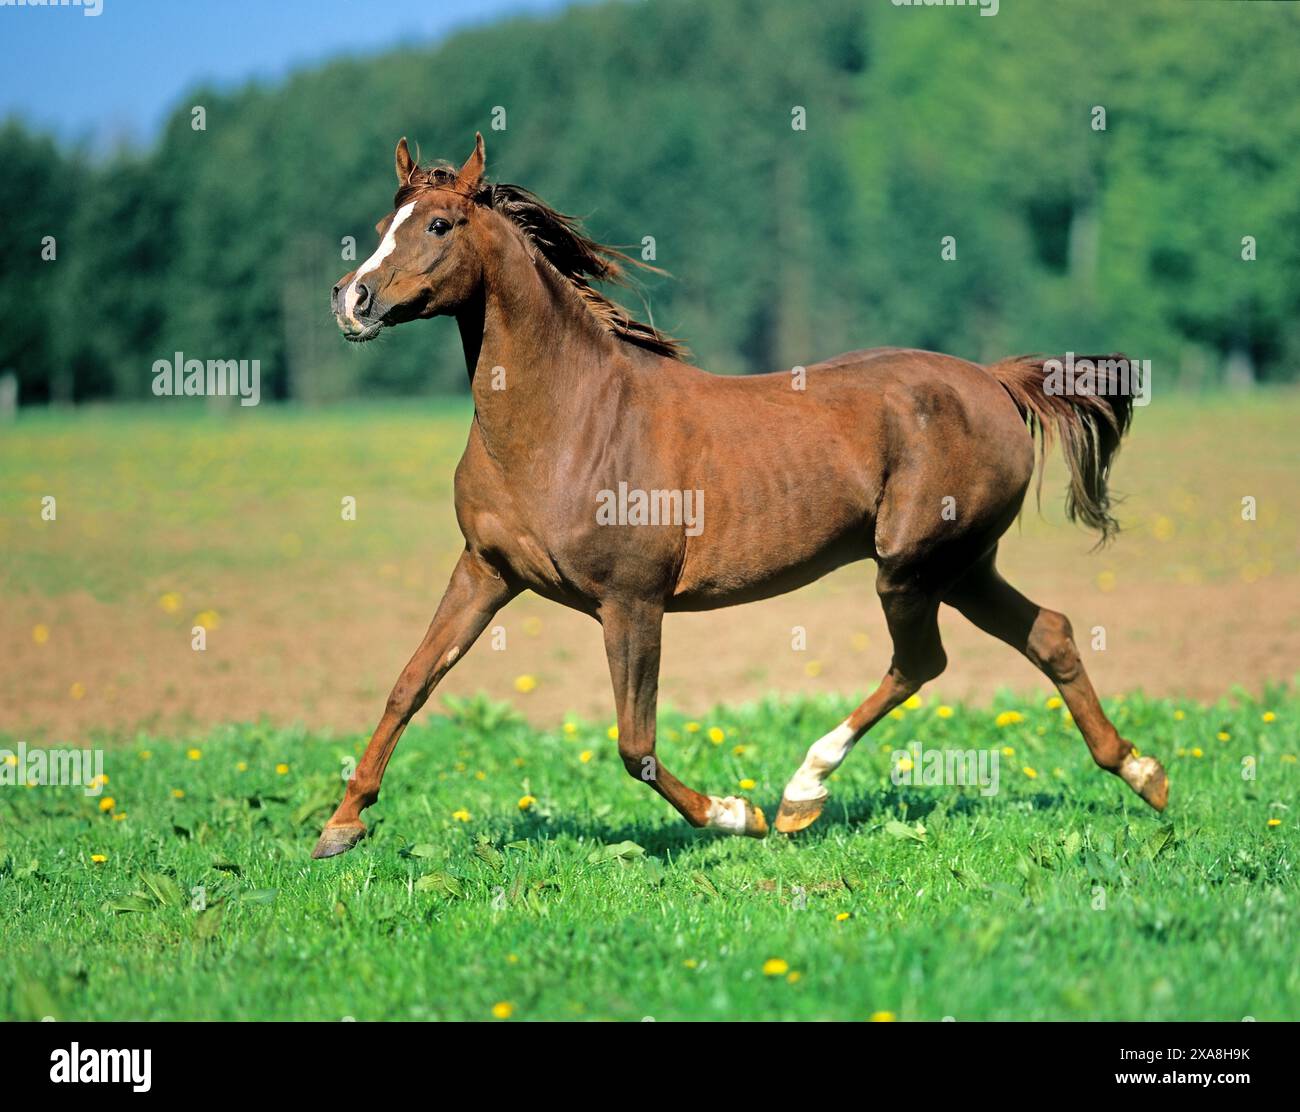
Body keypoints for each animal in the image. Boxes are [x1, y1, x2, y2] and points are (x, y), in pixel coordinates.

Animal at [316, 133, 1168, 858]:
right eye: (382, 223)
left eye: (439, 223)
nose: (351, 300)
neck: (567, 419)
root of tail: (993, 381)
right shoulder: (485, 571)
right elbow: (409, 684)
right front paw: (339, 825)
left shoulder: (632, 600)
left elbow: (635, 744)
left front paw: (737, 814)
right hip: (962, 567)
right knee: (1050, 633)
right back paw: (1144, 774)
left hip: (911, 564)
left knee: (921, 660)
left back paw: (799, 796)